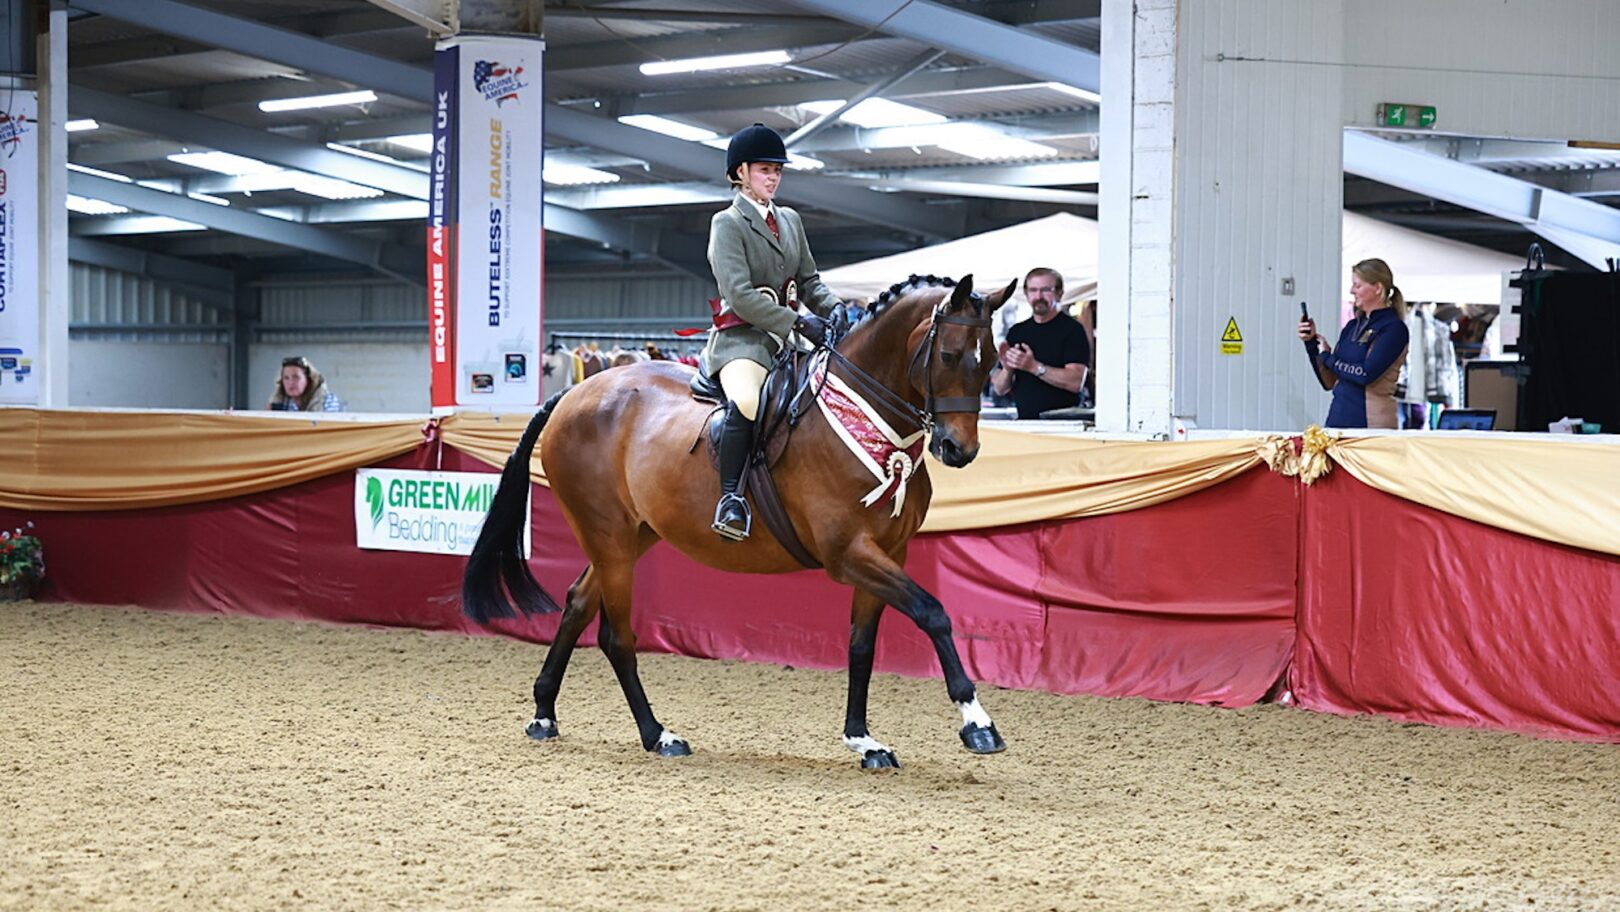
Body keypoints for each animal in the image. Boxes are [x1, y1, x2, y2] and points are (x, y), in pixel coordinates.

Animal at [462, 274, 1015, 769]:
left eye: (991, 361)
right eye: (949, 356)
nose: (959, 450)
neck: (866, 421)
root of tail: (571, 396)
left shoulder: (886, 551)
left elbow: (862, 646)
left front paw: (863, 741)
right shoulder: (849, 554)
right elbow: (932, 612)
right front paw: (977, 723)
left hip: (630, 536)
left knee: (577, 604)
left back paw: (544, 714)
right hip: (608, 536)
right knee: (615, 637)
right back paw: (658, 735)